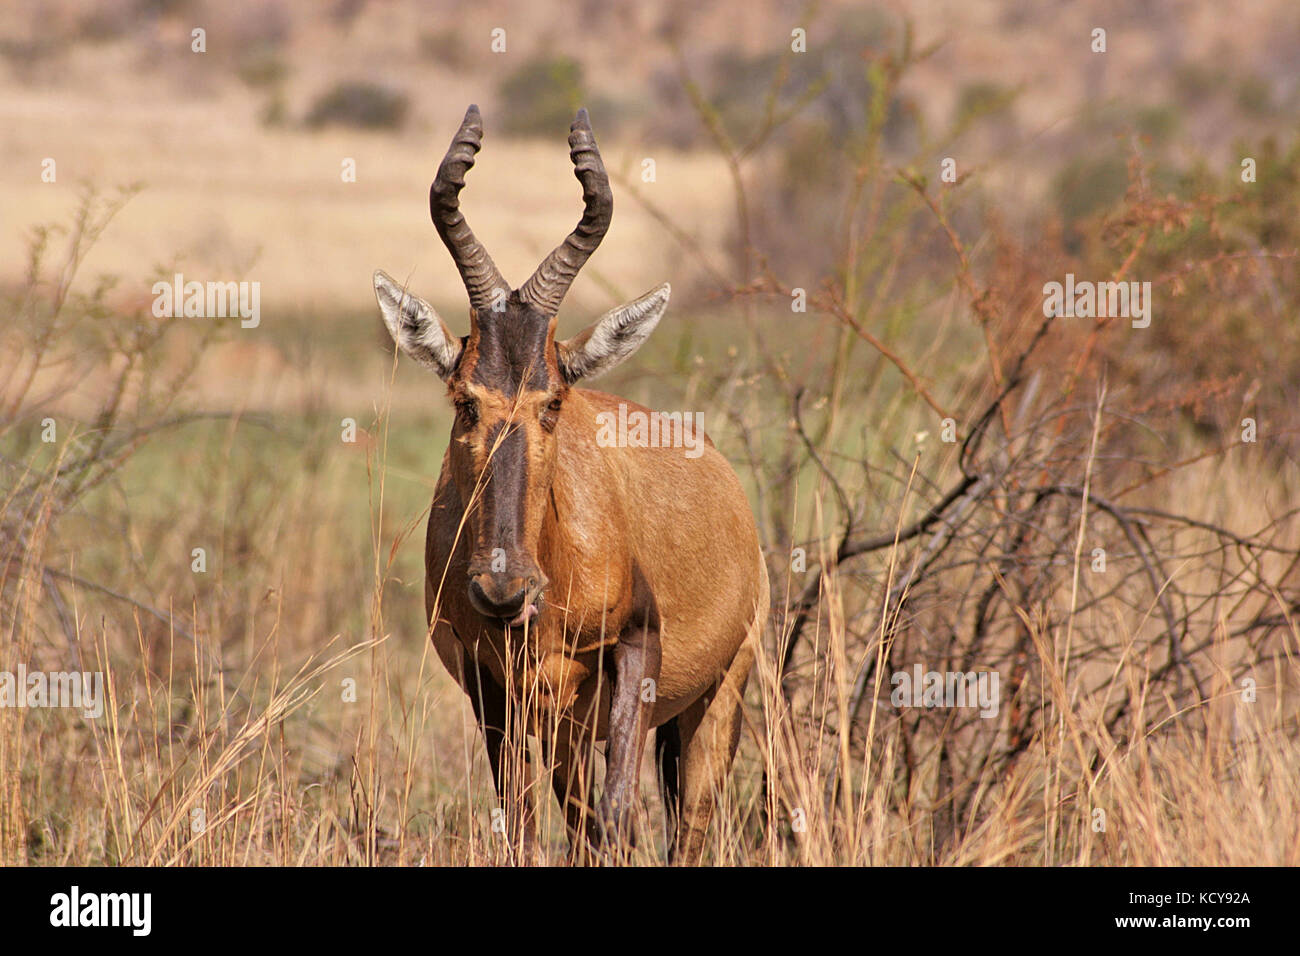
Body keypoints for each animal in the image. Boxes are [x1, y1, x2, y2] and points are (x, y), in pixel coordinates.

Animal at [371, 105, 768, 864]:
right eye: (465, 399)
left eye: (553, 399)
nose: (503, 588)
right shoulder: (492, 687)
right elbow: (525, 830)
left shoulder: (639, 648)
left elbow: (618, 819)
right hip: (565, 726)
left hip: (717, 695)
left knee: (688, 825)